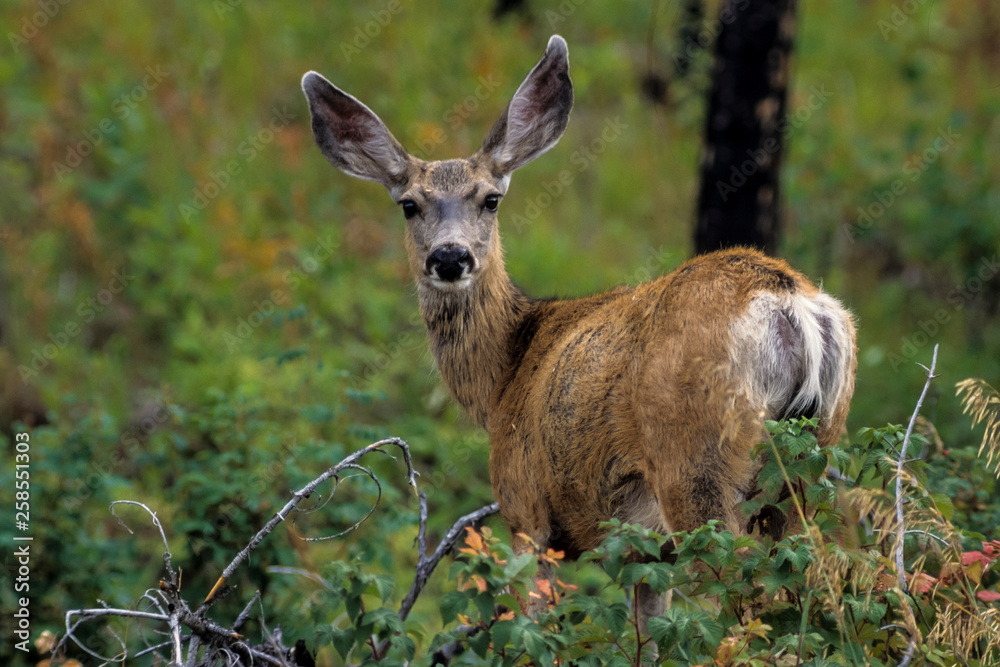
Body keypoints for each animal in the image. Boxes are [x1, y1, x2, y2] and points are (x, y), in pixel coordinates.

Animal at [301, 34, 856, 622]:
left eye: (490, 199)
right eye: (409, 205)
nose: (449, 257)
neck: (504, 375)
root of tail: (788, 302)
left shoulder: (526, 508)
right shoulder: (644, 548)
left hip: (697, 458)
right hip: (812, 458)